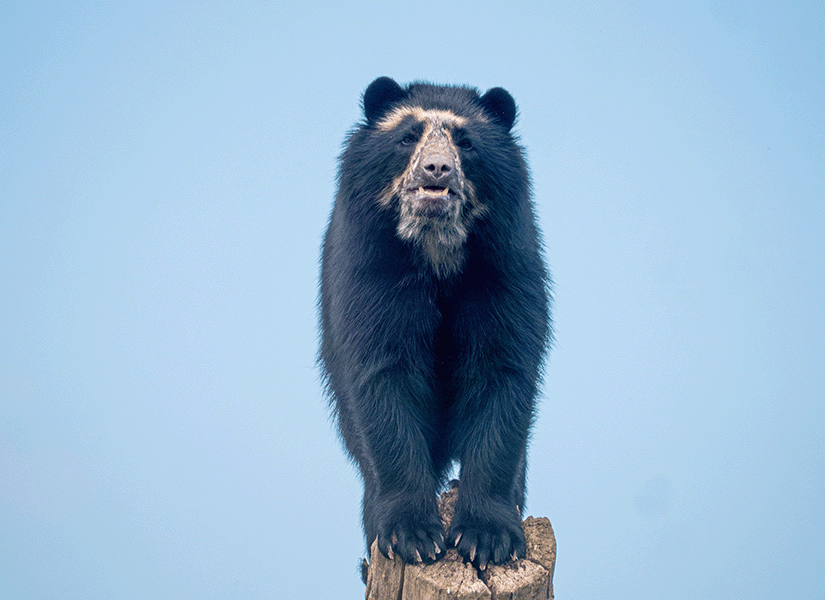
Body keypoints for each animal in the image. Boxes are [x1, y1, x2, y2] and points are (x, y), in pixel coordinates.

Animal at [319, 77, 551, 575]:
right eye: (408, 136)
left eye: (465, 142)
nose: (438, 170)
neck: (435, 249)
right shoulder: (373, 271)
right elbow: (384, 377)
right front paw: (412, 536)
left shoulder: (504, 271)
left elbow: (502, 374)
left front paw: (488, 537)